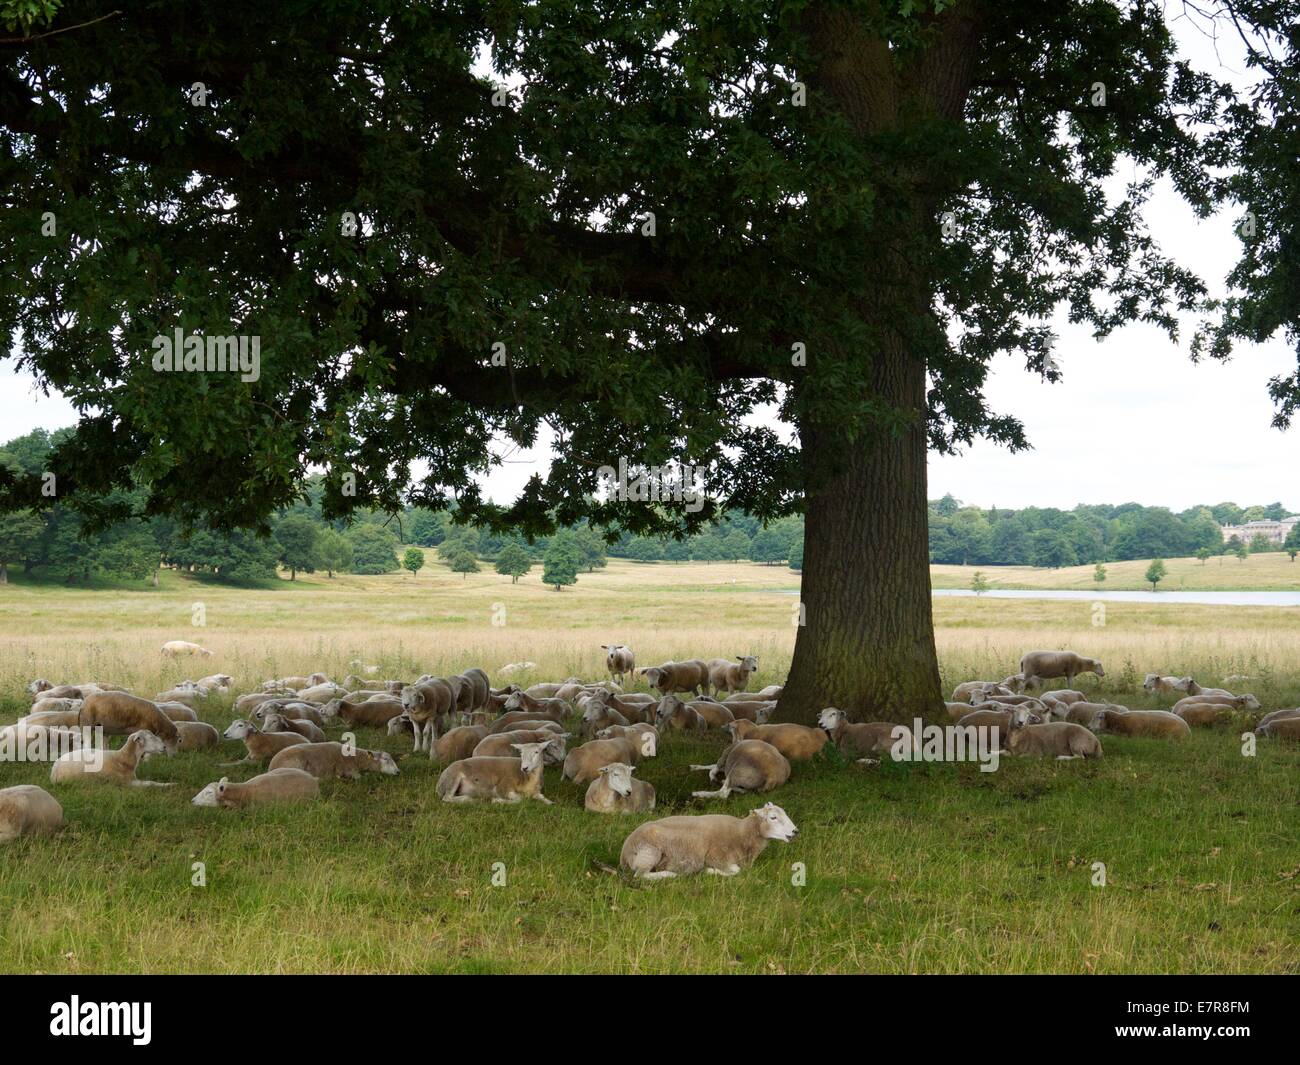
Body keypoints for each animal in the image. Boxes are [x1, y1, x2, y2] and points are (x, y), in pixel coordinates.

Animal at [269, 741, 399, 780]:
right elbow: (360, 777)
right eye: (386, 759)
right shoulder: (350, 771)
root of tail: (271, 766)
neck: (356, 758)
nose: (398, 772)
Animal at [619, 803, 798, 879]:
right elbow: (736, 870)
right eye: (773, 817)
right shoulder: (716, 857)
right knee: (640, 875)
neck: (742, 833)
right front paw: (708, 871)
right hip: (649, 852)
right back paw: (669, 874)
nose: (795, 831)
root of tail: (624, 853)